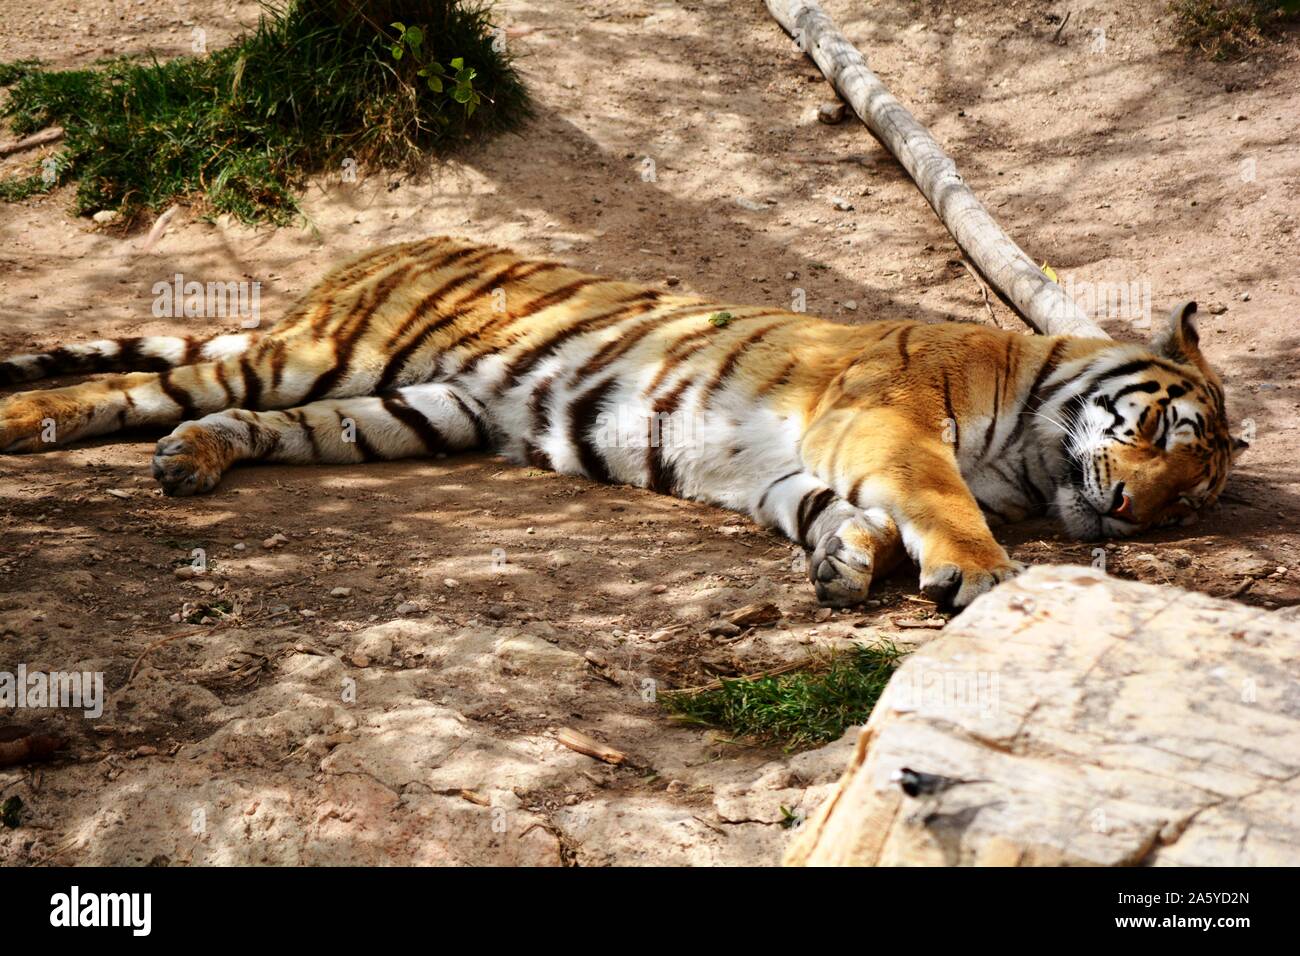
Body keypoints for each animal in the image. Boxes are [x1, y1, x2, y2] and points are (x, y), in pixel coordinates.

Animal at [0, 236, 1246, 611]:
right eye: (1157, 436)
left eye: (1189, 502)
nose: (1126, 511)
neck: (1034, 459)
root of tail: (374, 250)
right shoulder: (884, 422)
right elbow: (932, 502)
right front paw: (979, 575)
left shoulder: (786, 466)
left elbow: (825, 512)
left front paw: (846, 561)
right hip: (317, 353)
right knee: (148, 386)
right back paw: (32, 421)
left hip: (411, 409)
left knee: (248, 421)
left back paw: (190, 463)